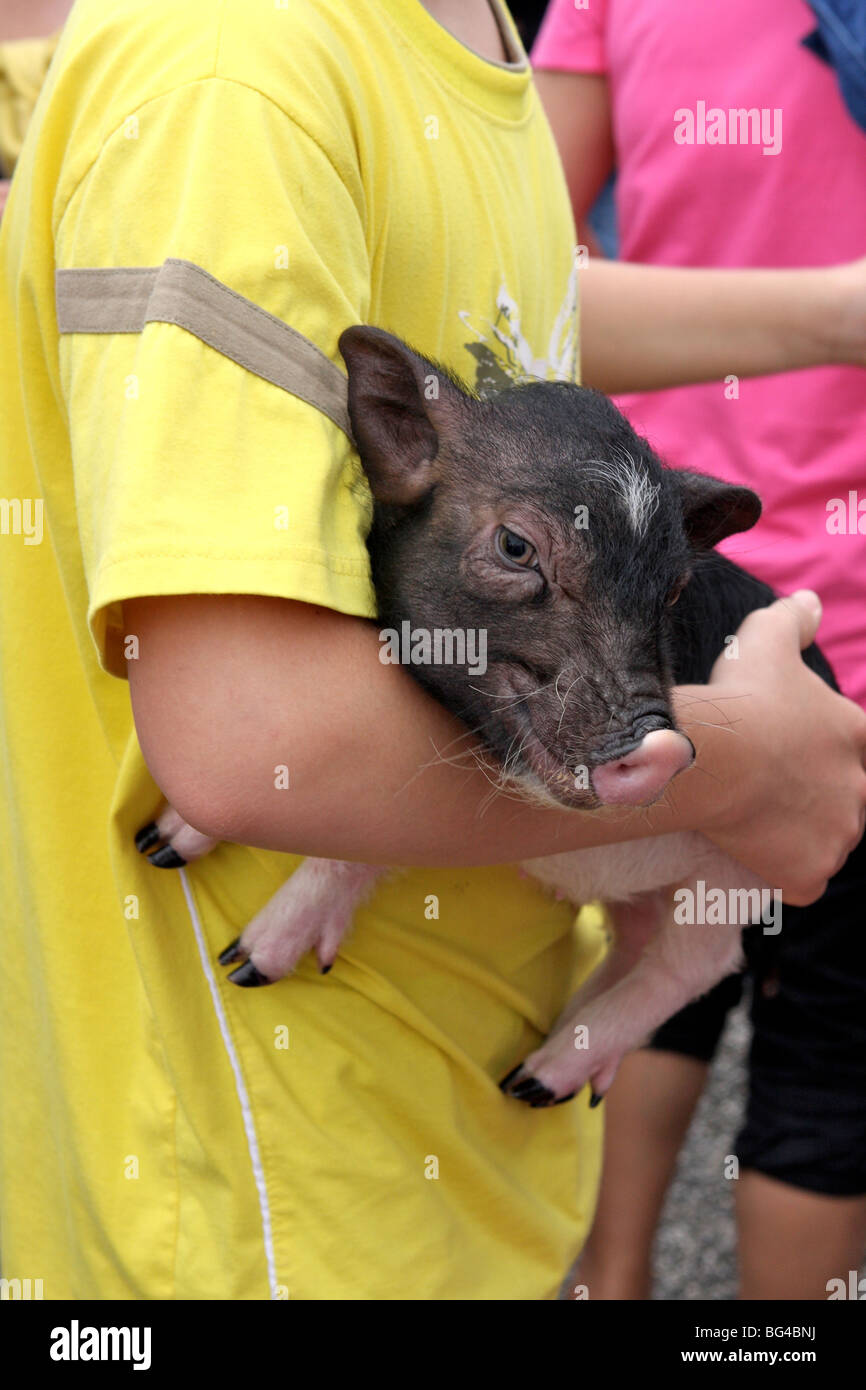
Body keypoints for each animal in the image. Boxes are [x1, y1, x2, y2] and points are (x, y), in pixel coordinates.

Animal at [136, 326, 836, 1108]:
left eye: (677, 588)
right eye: (515, 547)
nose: (661, 741)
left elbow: (363, 840)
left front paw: (246, 964)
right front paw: (159, 843)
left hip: (738, 870)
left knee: (699, 965)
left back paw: (532, 1083)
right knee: (634, 934)